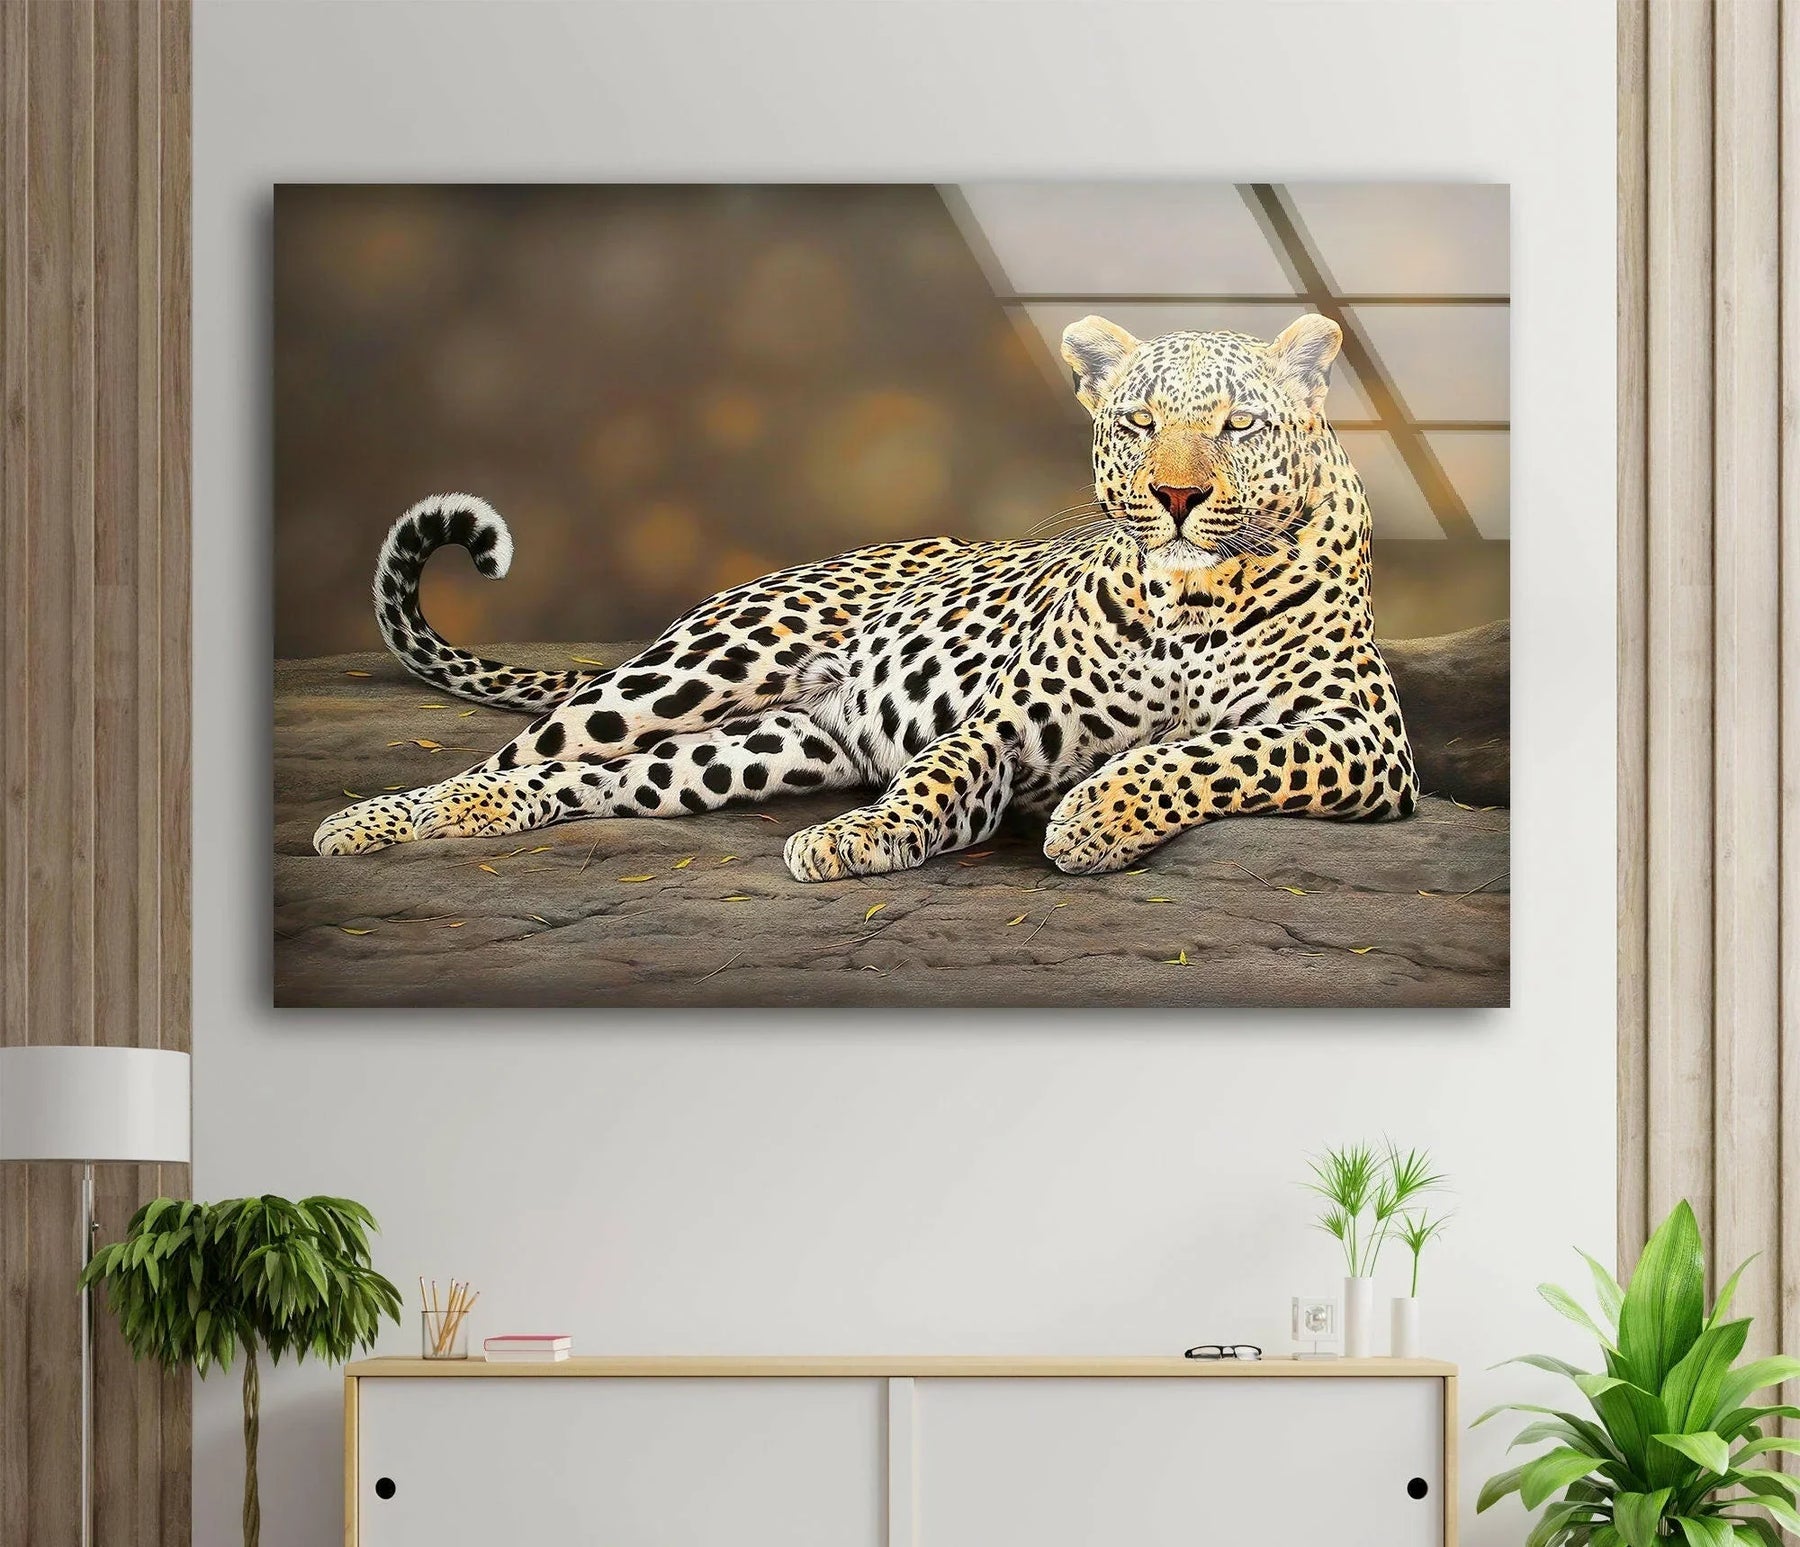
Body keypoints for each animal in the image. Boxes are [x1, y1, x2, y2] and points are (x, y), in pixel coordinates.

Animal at [313, 312, 1419, 880]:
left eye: (1240, 425)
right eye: (1140, 422)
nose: (1177, 498)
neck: (1192, 603)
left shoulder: (1362, 739)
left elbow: (1216, 753)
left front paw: (1097, 818)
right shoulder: (1003, 722)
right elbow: (941, 767)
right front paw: (859, 836)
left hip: (767, 746)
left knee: (588, 782)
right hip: (695, 666)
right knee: (524, 757)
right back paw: (373, 823)